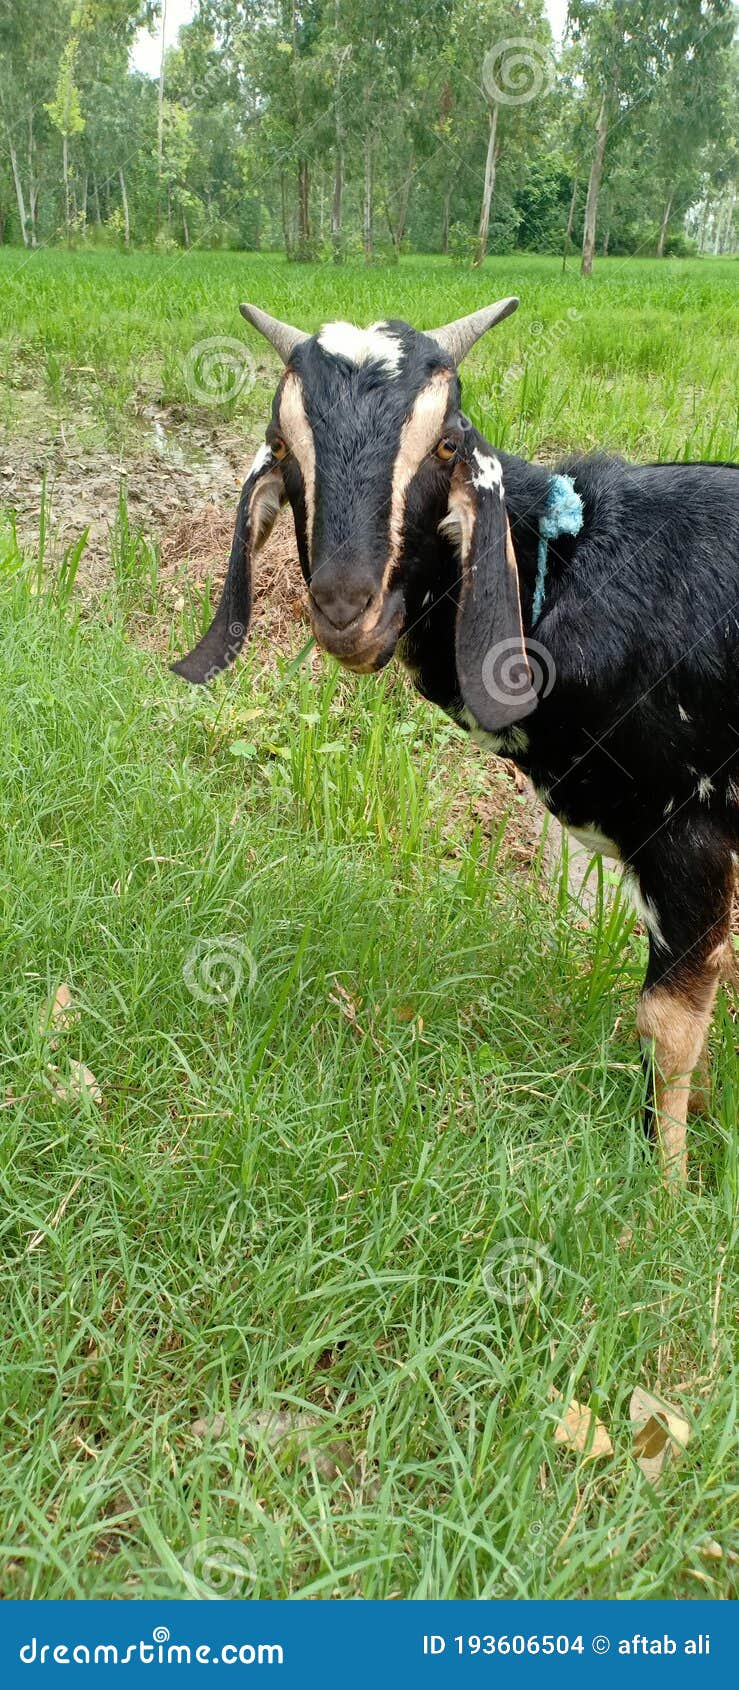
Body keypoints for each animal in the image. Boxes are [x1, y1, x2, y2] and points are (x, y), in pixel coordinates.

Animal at [173, 299, 739, 1184]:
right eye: (283, 446)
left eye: (444, 446)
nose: (345, 609)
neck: (566, 569)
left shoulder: (690, 827)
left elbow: (667, 1024)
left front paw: (667, 1195)